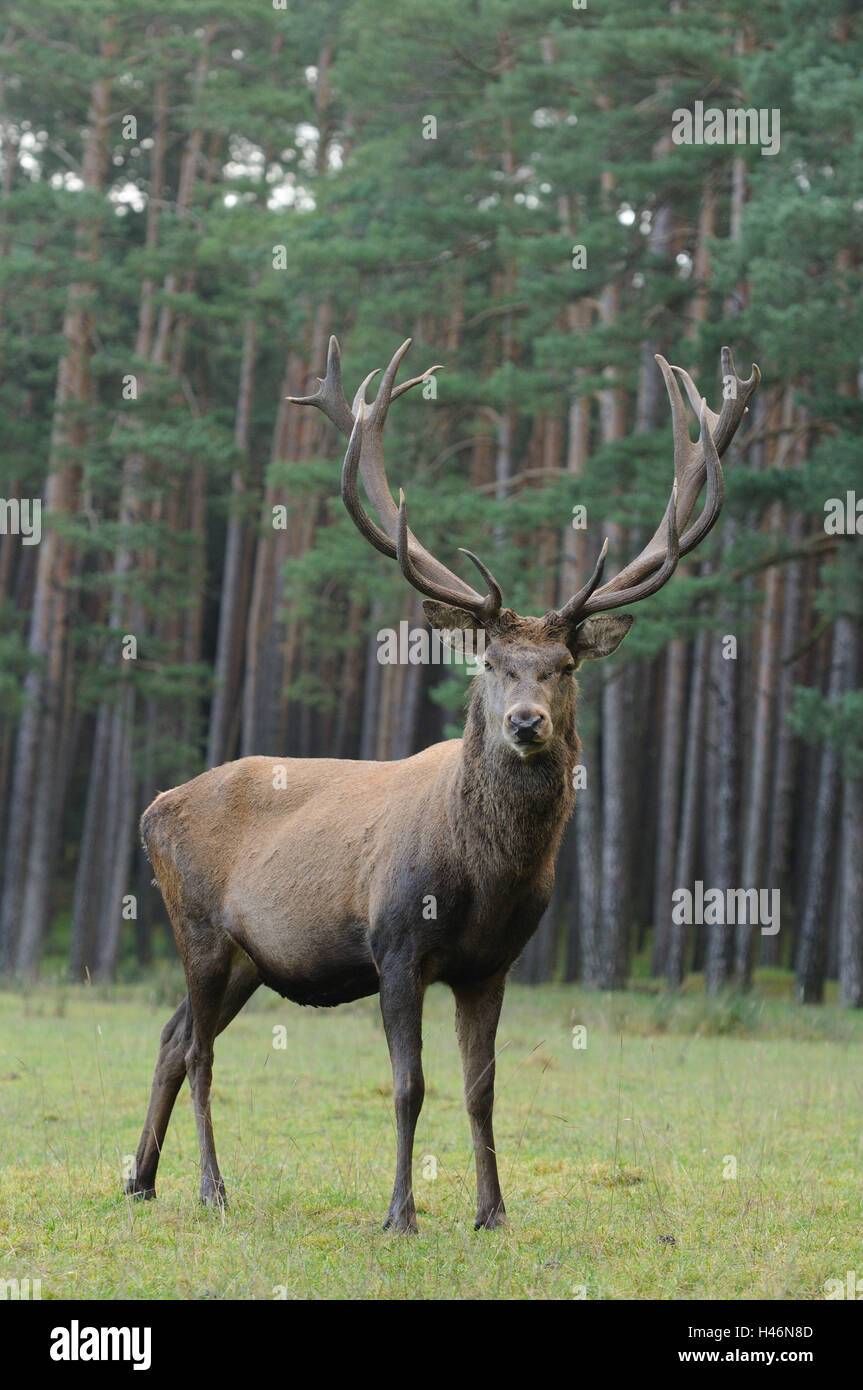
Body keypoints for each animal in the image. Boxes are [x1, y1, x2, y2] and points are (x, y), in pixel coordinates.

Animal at [125, 336, 759, 1232]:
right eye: (490, 663)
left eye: (563, 666)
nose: (525, 723)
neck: (489, 878)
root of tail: (153, 806)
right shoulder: (395, 944)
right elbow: (409, 1085)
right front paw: (401, 1212)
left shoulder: (492, 963)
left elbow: (481, 1088)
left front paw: (493, 1211)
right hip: (200, 927)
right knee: (201, 1050)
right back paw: (212, 1188)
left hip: (250, 956)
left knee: (171, 1038)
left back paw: (141, 1178)